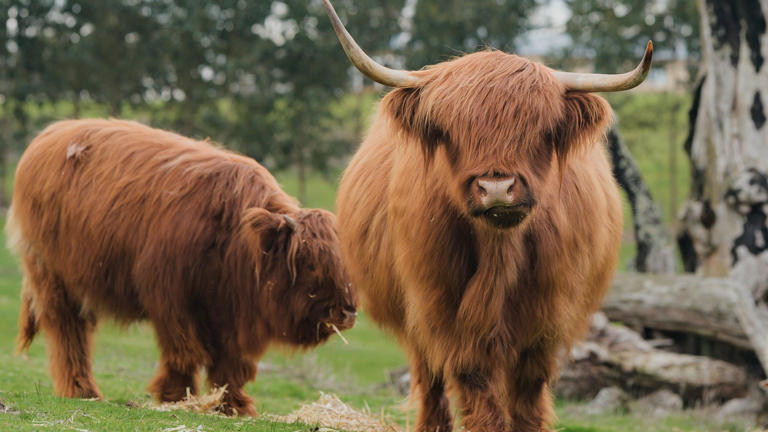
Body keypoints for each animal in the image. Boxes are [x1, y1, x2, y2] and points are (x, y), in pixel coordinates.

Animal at [8, 119, 358, 416]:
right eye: (310, 263)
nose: (348, 311)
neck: (234, 239)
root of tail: (49, 135)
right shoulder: (171, 297)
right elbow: (184, 351)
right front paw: (176, 396)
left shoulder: (232, 312)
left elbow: (232, 363)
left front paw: (232, 405)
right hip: (51, 276)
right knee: (67, 331)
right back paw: (82, 391)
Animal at [324, 1, 652, 431]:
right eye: (451, 130)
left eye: (539, 128)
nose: (497, 188)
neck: (501, 252)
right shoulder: (443, 311)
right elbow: (474, 382)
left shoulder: (547, 318)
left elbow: (527, 391)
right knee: (429, 376)